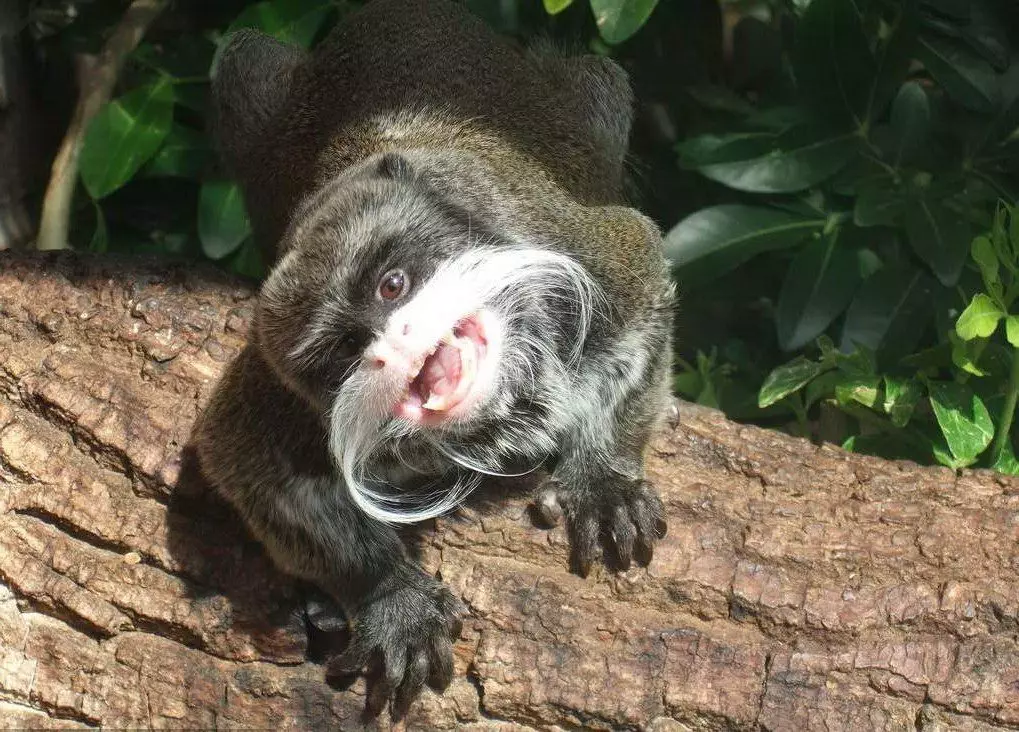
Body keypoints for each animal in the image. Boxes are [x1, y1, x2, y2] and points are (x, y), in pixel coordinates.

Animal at [196, 0, 676, 721]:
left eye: (392, 285)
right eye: (347, 351)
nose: (394, 346)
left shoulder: (575, 250)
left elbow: (642, 279)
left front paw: (602, 475)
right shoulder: (272, 379)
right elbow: (242, 455)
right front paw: (391, 594)